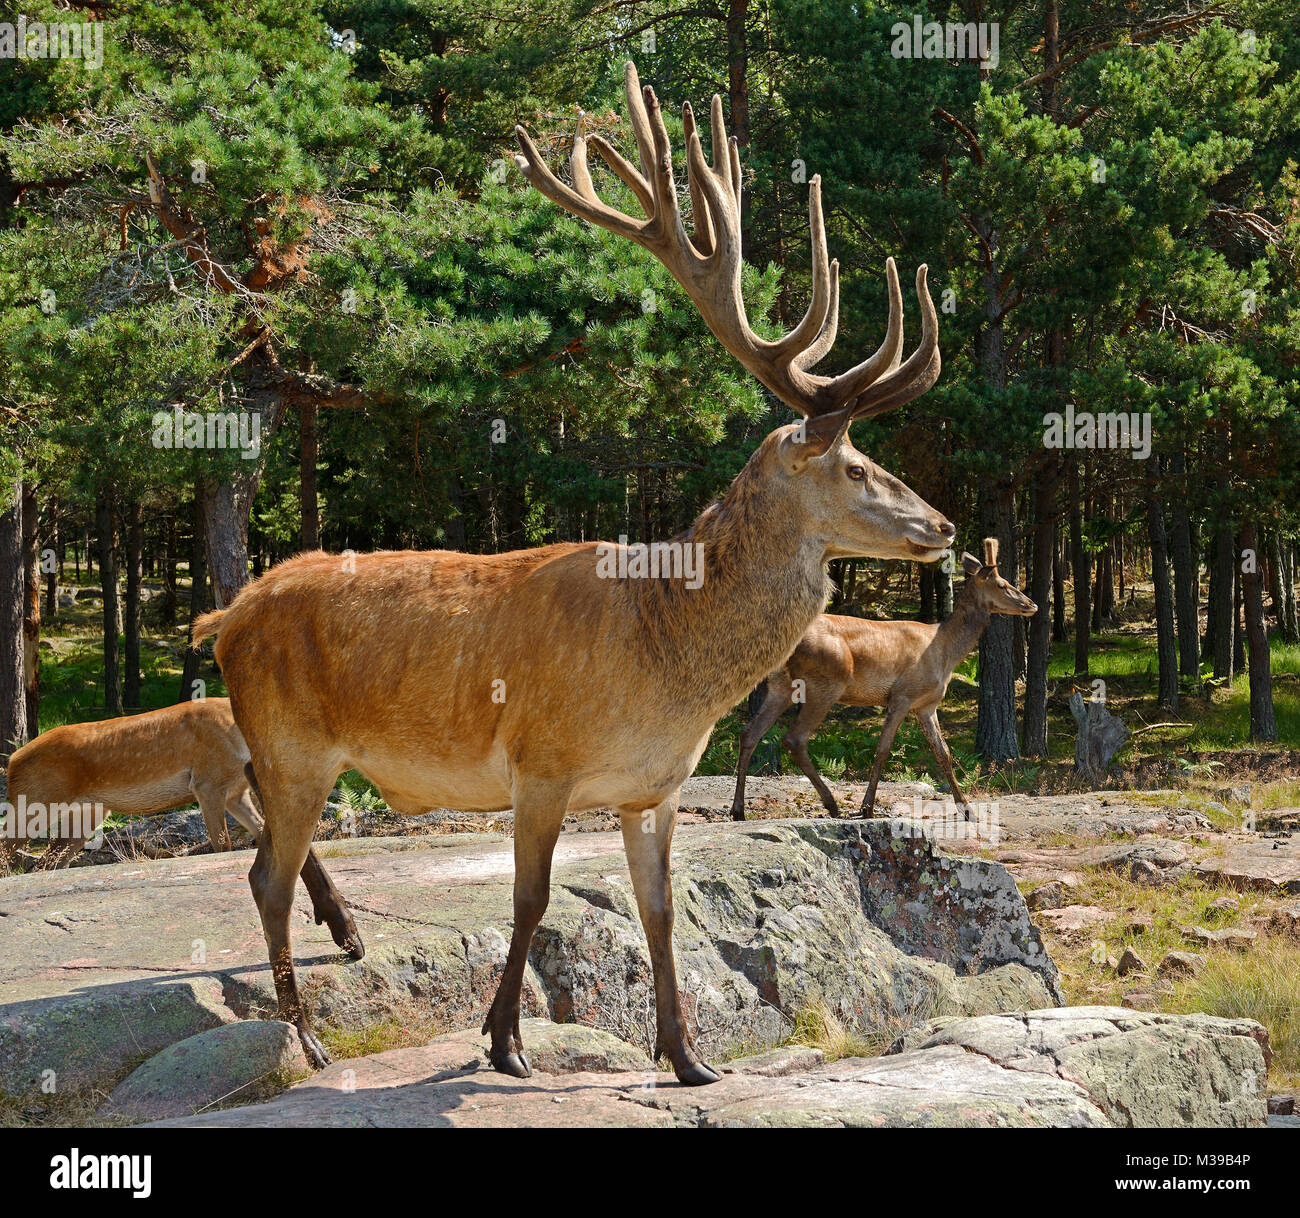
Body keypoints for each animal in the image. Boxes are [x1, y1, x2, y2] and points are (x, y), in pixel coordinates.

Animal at [0, 700, 359, 950]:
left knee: (49, 862)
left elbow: (259, 836)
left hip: (86, 812)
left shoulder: (236, 792)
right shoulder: (207, 783)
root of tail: (13, 761)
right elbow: (222, 844)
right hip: (34, 802)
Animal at [191, 61, 953, 1087]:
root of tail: (227, 617)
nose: (944, 526)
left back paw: (340, 946)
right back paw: (304, 1036)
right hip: (291, 739)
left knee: (268, 853)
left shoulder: (653, 788)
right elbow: (532, 902)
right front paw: (505, 1042)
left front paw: (688, 1057)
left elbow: (660, 913)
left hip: (287, 749)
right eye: (857, 466)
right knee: (263, 872)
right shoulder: (541, 761)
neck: (665, 660)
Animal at [731, 538, 1036, 822]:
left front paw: (968, 810)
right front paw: (867, 807)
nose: (1031, 604)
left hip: (781, 685)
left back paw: (738, 810)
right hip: (826, 682)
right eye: (1003, 584)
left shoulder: (927, 705)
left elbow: (944, 753)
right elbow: (883, 749)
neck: (945, 651)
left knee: (750, 733)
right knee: (794, 738)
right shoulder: (903, 695)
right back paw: (832, 804)